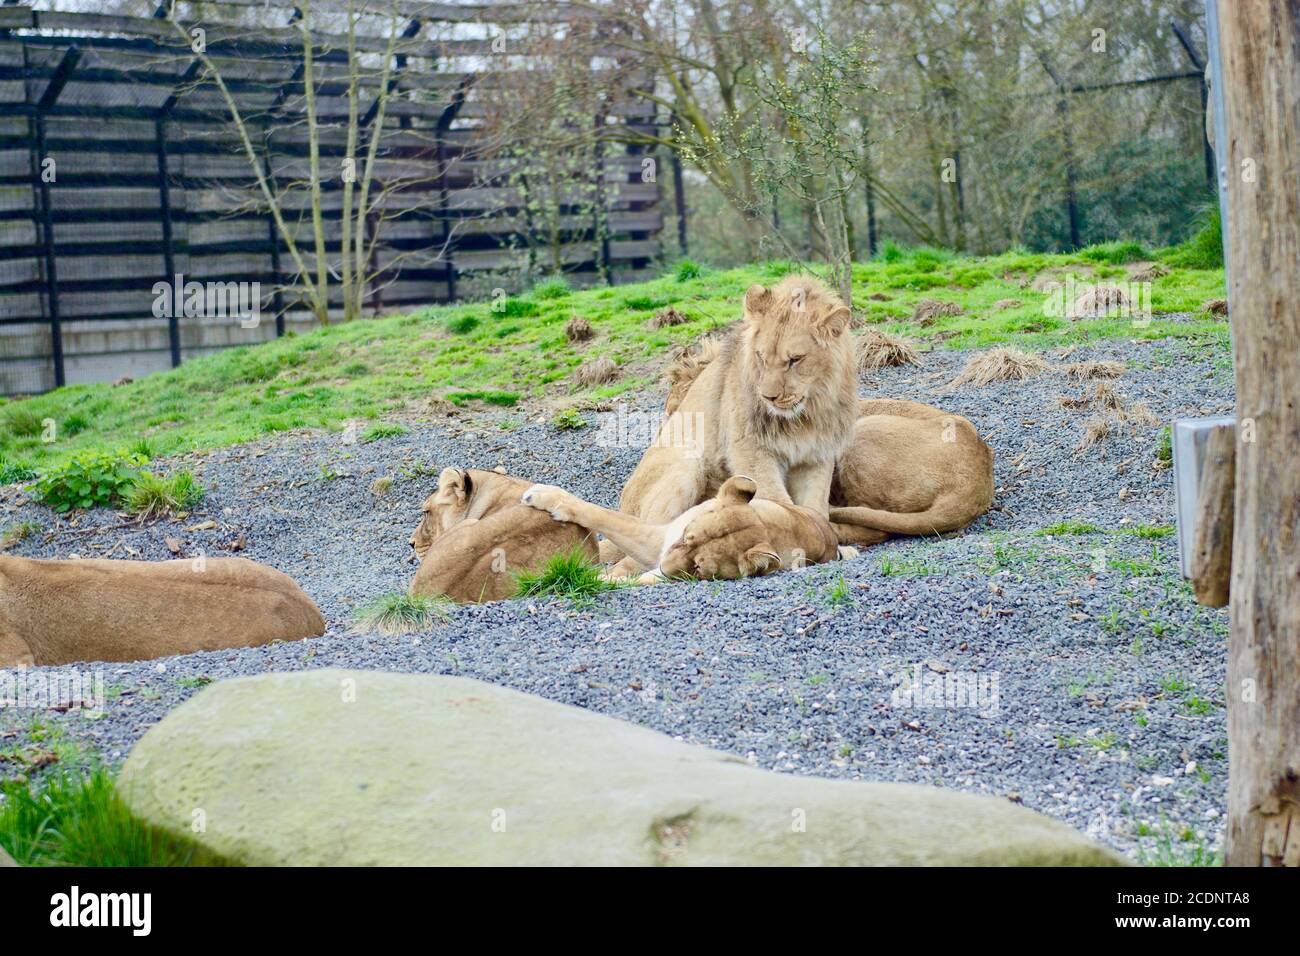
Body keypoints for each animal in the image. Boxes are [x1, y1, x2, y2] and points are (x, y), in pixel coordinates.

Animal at [522, 475, 853, 585]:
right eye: (685, 538)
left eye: (699, 568)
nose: (662, 565)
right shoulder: (659, 538)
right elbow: (600, 514)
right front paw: (541, 495)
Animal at [607, 274, 857, 577]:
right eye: (761, 357)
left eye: (795, 360)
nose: (769, 397)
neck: (804, 415)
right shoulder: (750, 450)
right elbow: (776, 499)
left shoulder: (816, 455)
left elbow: (816, 504)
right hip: (686, 462)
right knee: (636, 549)